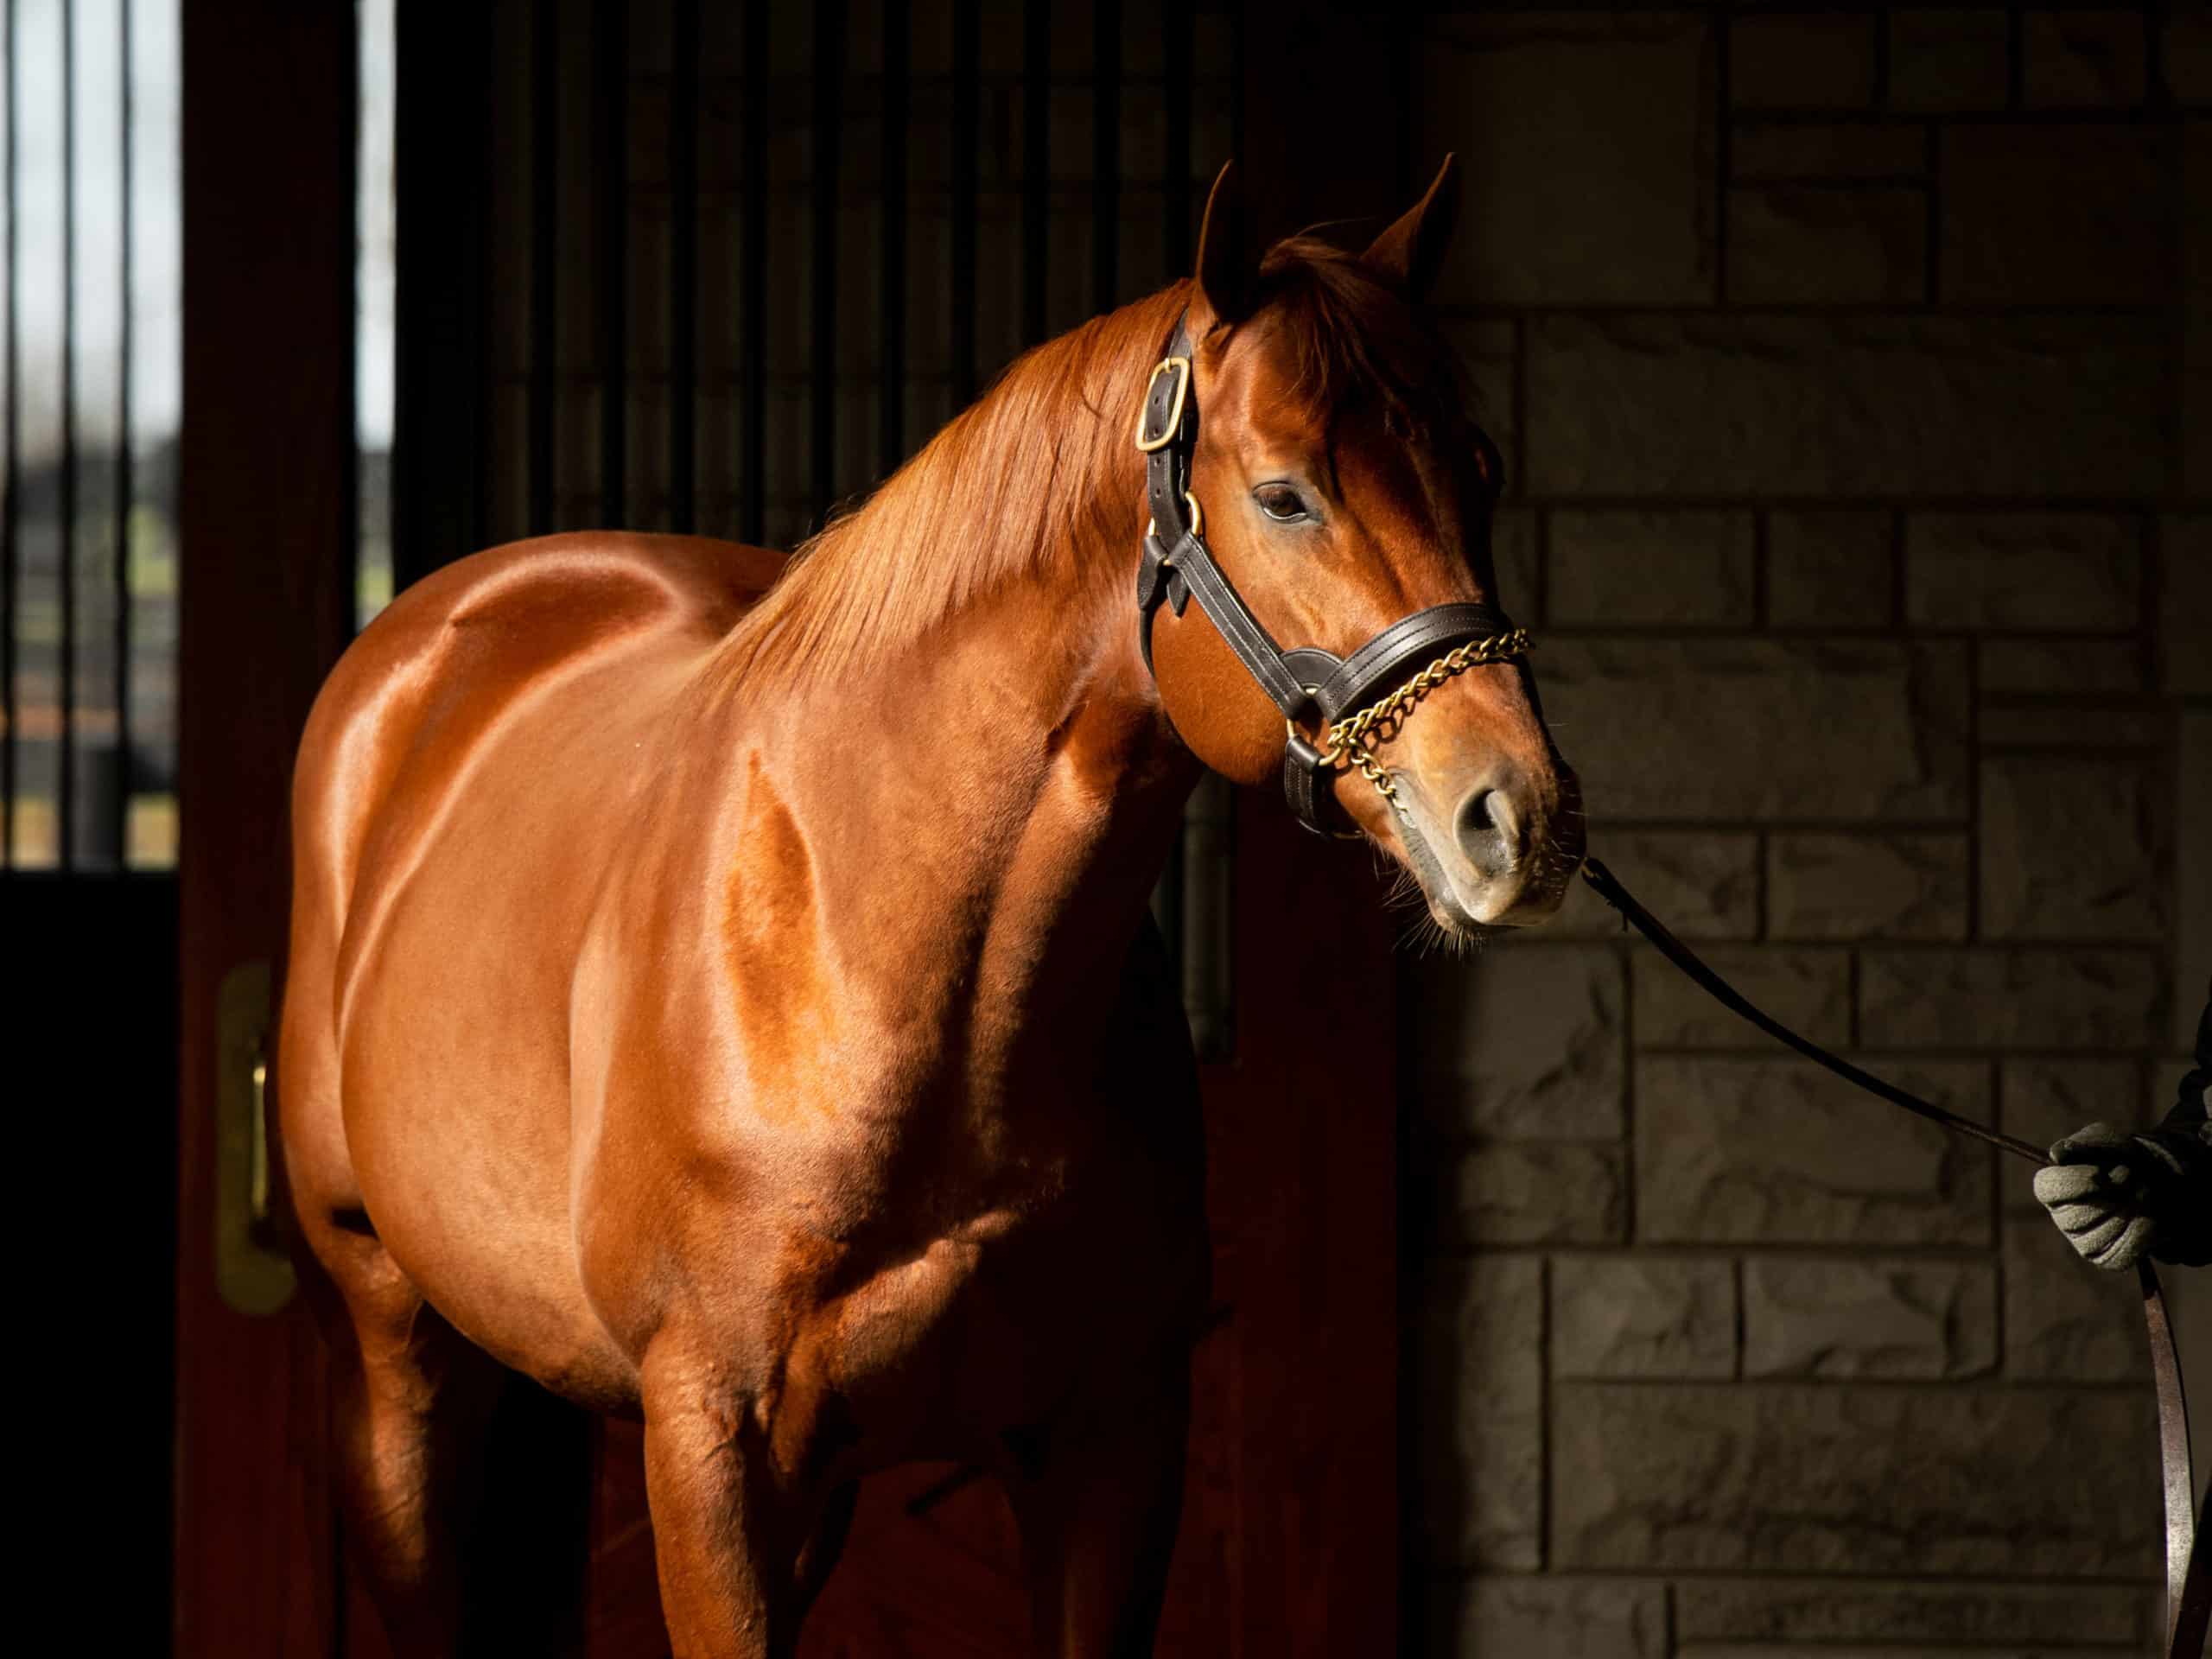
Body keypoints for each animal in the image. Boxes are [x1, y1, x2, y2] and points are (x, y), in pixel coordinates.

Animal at [275, 158, 1583, 1657]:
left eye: (1478, 468)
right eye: (1285, 495)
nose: (1517, 816)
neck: (873, 953)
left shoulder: (1112, 1449)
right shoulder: (713, 1458)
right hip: (393, 1363)